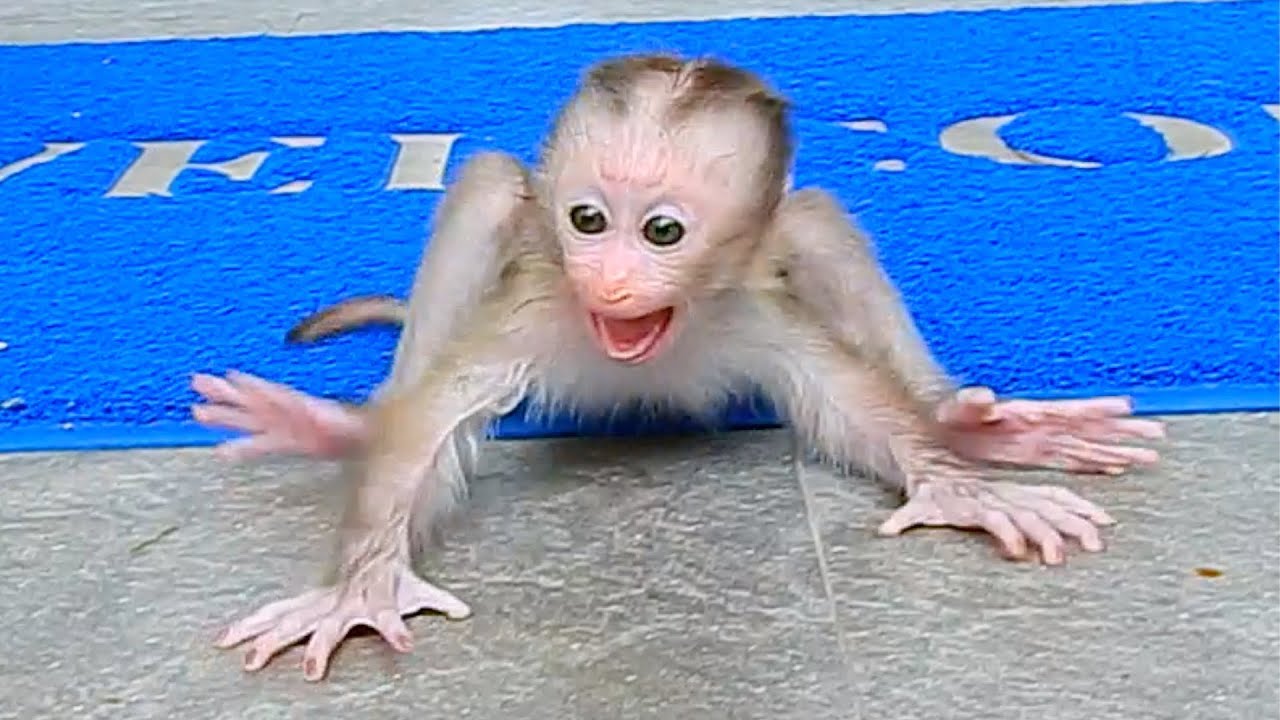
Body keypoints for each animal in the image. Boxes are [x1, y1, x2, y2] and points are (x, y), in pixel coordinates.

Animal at [191, 53, 1167, 682]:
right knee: (488, 183)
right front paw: (359, 587)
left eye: (662, 231)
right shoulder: (538, 306)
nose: (611, 278)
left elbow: (853, 400)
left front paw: (960, 484)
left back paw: (965, 421)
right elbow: (427, 429)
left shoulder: (750, 309)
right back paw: (345, 428)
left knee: (810, 215)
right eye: (587, 220)